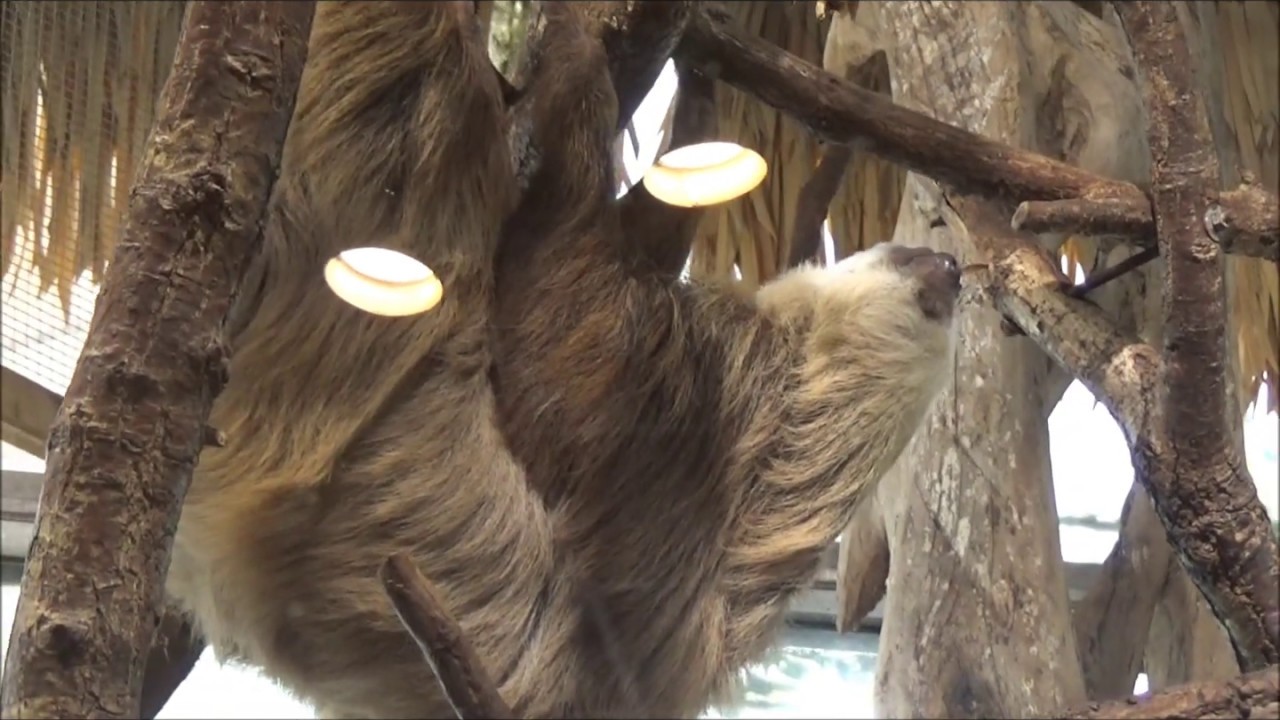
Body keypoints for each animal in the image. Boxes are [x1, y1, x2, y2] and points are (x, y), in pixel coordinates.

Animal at [159, 2, 962, 719]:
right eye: (924, 263)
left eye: (927, 287)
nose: (952, 266)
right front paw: (695, 90)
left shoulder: (677, 393)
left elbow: (554, 322)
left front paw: (576, 57)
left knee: (417, 96)